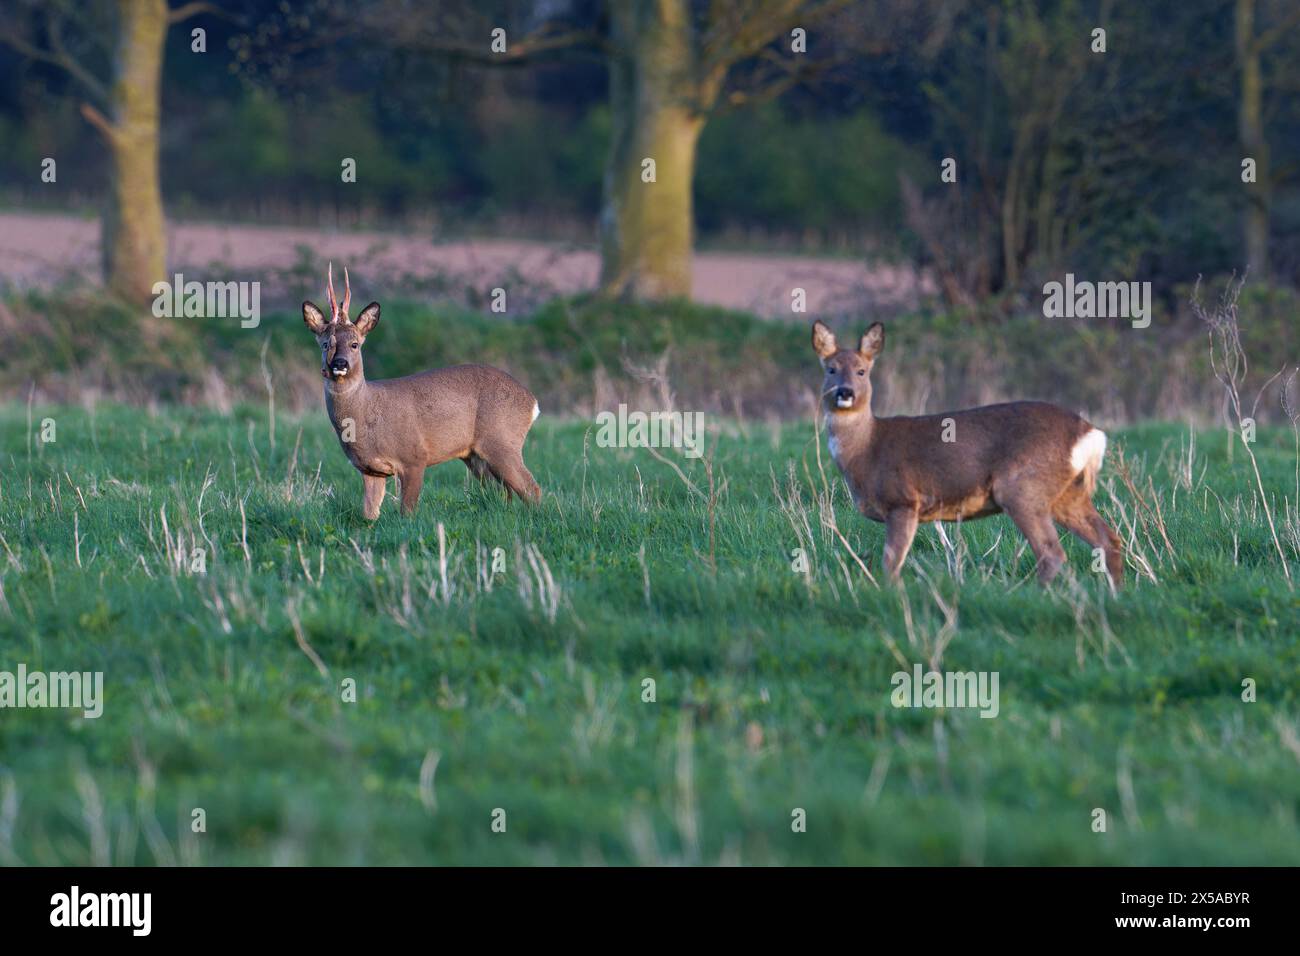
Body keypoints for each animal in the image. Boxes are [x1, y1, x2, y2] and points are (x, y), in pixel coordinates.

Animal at [303, 264, 542, 519]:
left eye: (355, 344)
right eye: (326, 344)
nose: (340, 363)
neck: (366, 412)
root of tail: (532, 402)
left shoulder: (414, 457)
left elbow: (407, 511)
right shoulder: (371, 470)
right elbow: (369, 515)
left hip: (502, 441)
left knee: (531, 488)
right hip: (475, 455)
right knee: (503, 492)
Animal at [811, 320, 1123, 588]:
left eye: (862, 371)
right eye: (831, 369)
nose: (845, 392)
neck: (866, 451)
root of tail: (1090, 434)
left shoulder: (903, 500)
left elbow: (891, 564)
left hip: (1022, 487)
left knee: (1052, 552)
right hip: (1067, 494)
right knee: (1108, 540)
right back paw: (1115, 594)